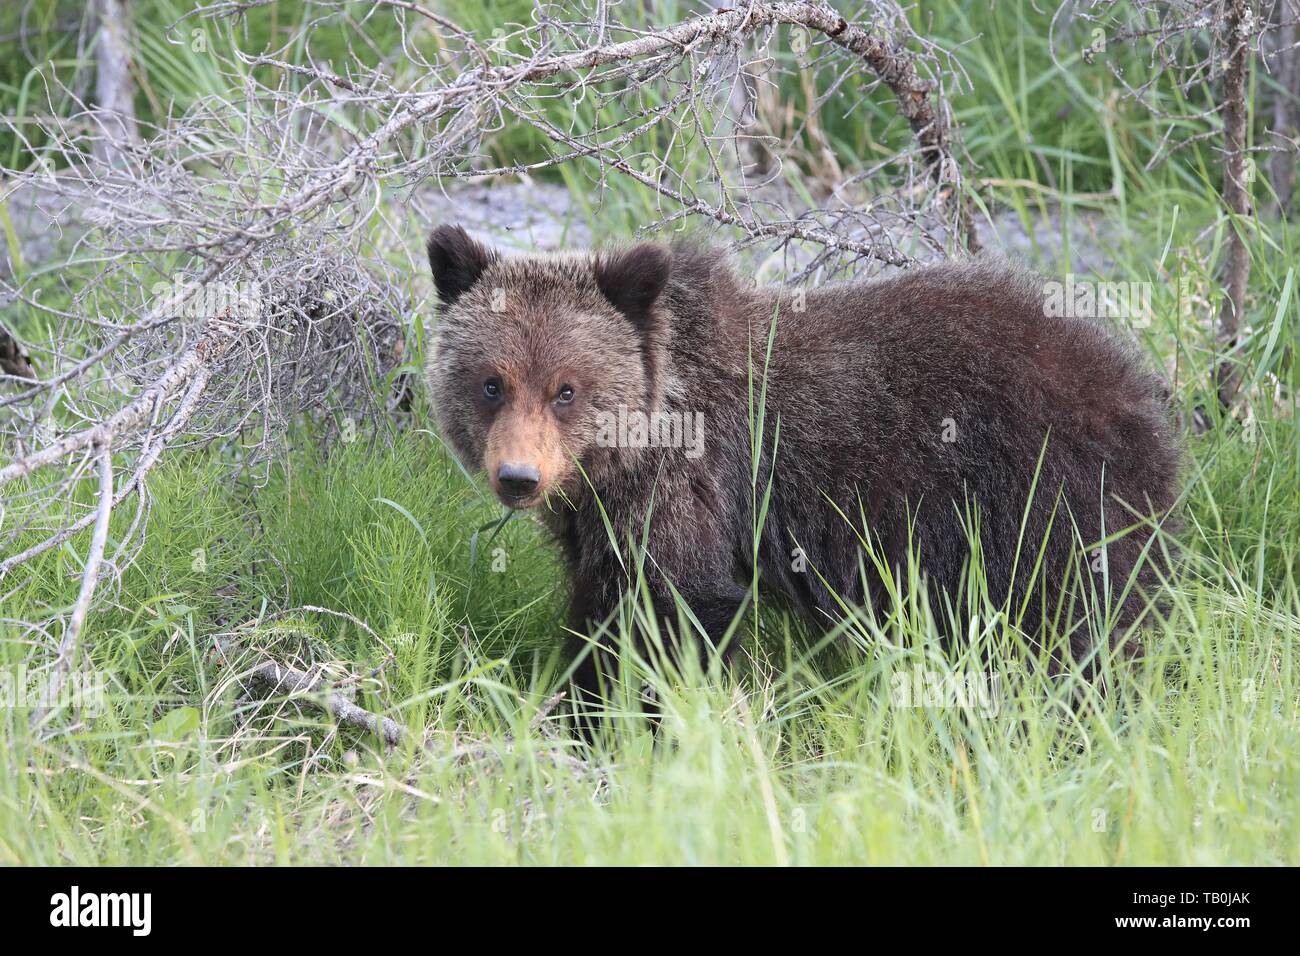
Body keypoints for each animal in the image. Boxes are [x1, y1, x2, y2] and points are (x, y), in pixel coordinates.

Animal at [424, 224, 1182, 716]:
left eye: (566, 389)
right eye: (491, 383)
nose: (518, 477)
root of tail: (1136, 390)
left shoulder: (690, 478)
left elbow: (670, 604)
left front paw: (619, 720)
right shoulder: (595, 514)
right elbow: (600, 598)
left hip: (1034, 494)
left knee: (1068, 622)